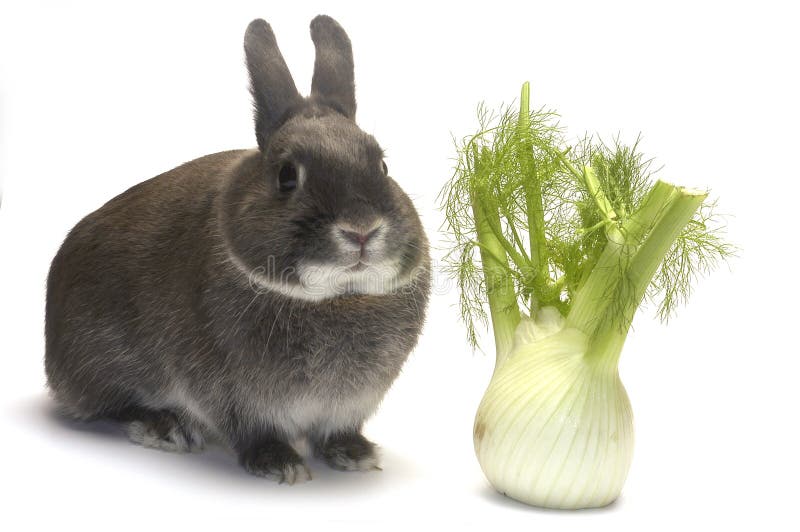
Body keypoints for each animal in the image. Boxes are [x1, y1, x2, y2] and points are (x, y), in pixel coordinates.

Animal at [44, 15, 430, 484]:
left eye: (383, 165)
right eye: (287, 176)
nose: (361, 230)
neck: (337, 297)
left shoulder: (350, 403)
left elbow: (338, 431)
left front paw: (355, 454)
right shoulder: (233, 393)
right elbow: (252, 432)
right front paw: (281, 464)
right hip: (98, 358)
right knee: (108, 405)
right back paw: (165, 427)